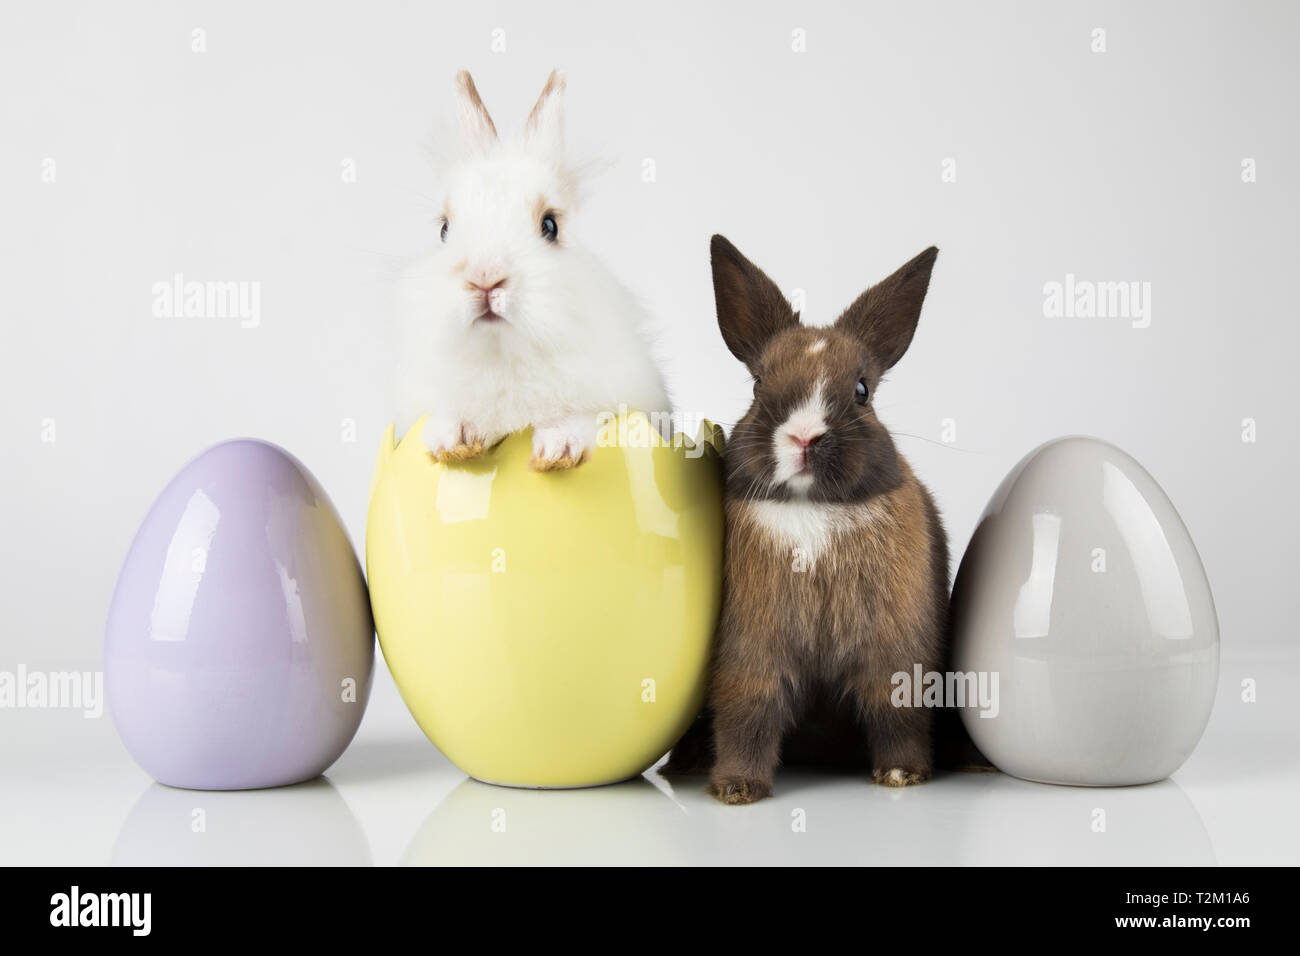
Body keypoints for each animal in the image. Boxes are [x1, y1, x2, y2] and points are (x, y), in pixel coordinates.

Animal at [396, 70, 671, 470]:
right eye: (444, 229)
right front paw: (452, 442)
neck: (503, 355)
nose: (484, 278)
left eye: (550, 225)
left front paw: (558, 451)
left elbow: (580, 418)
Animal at [664, 235, 965, 804]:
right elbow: (747, 714)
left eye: (863, 390)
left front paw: (902, 775)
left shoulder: (896, 657)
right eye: (758, 385)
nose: (804, 436)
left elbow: (897, 713)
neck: (813, 511)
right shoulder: (750, 655)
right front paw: (736, 788)